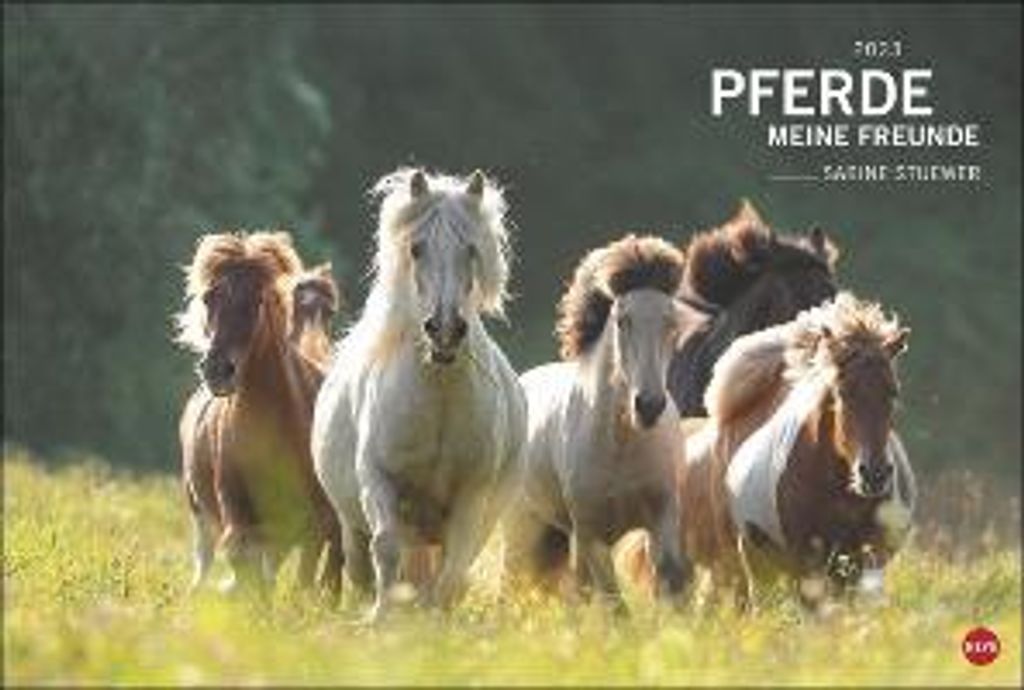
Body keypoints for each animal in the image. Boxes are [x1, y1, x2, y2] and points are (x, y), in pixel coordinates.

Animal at [175, 231, 343, 601]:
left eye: (257, 300)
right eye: (209, 298)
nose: (216, 370)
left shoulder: (315, 524)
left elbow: (304, 581)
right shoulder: (241, 520)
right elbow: (245, 569)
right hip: (204, 517)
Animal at [311, 168, 528, 621]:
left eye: (471, 249)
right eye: (416, 248)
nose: (444, 330)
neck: (439, 395)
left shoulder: (472, 497)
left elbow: (453, 573)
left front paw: (432, 624)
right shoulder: (379, 481)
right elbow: (386, 549)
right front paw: (380, 619)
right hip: (351, 522)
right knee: (362, 566)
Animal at [501, 234, 709, 613]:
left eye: (671, 323)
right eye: (622, 320)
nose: (649, 406)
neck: (621, 443)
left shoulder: (663, 516)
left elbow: (670, 581)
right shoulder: (591, 532)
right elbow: (614, 603)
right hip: (525, 528)